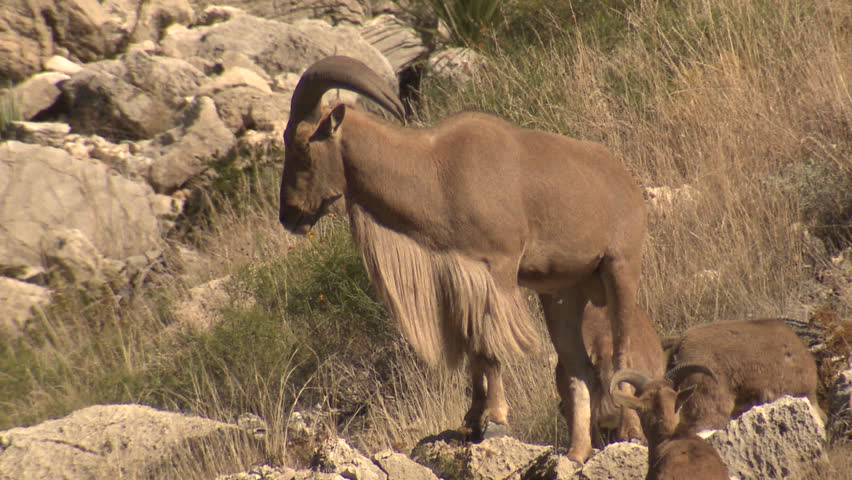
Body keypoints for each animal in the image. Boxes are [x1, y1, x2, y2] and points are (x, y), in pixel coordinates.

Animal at [278, 55, 649, 462]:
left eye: (302, 145)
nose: (288, 214)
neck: (436, 172)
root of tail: (625, 181)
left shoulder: (496, 269)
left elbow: (490, 345)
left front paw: (497, 419)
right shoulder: (457, 278)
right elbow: (474, 349)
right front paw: (472, 419)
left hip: (621, 267)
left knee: (622, 353)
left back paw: (632, 434)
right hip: (563, 293)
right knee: (578, 367)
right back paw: (577, 452)